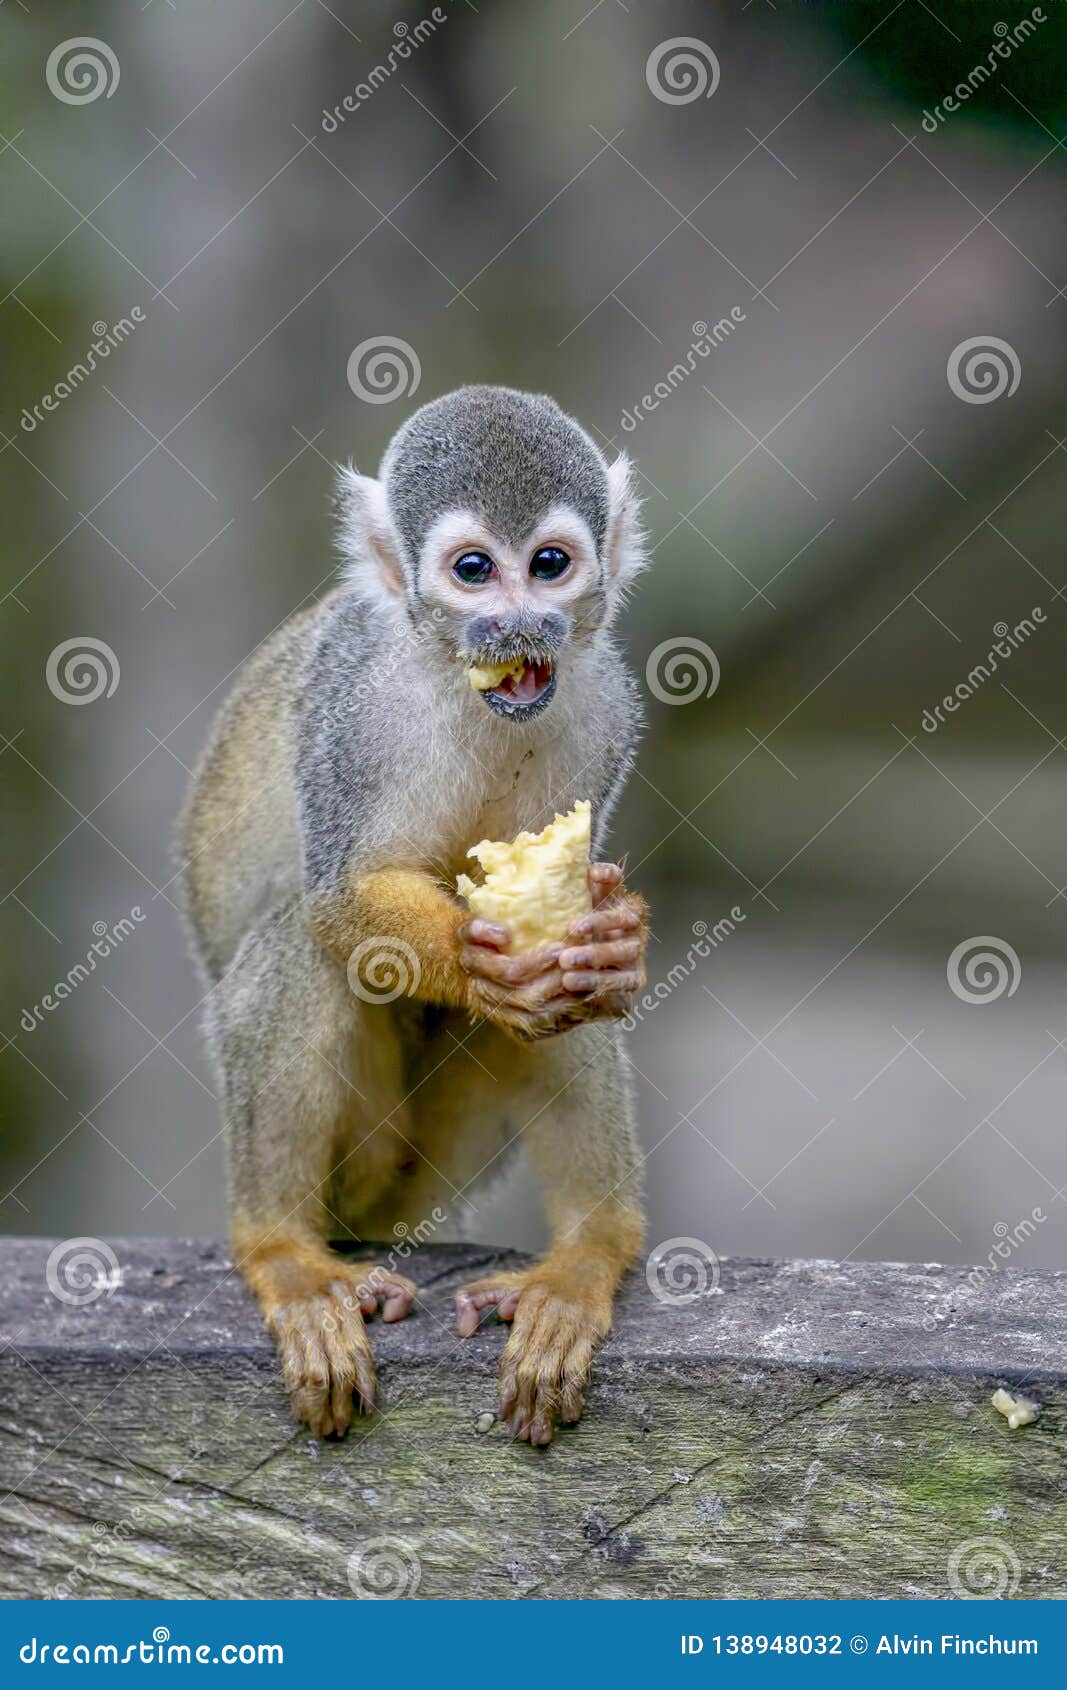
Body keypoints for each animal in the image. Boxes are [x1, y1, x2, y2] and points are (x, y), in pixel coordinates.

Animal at [178, 385, 650, 1446]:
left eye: (548, 565)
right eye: (473, 572)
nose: (520, 625)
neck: (458, 683)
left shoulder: (604, 701)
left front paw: (616, 946)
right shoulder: (355, 708)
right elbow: (342, 896)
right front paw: (483, 966)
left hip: (441, 1147)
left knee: (562, 1025)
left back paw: (588, 1255)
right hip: (367, 1154)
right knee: (302, 946)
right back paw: (282, 1252)